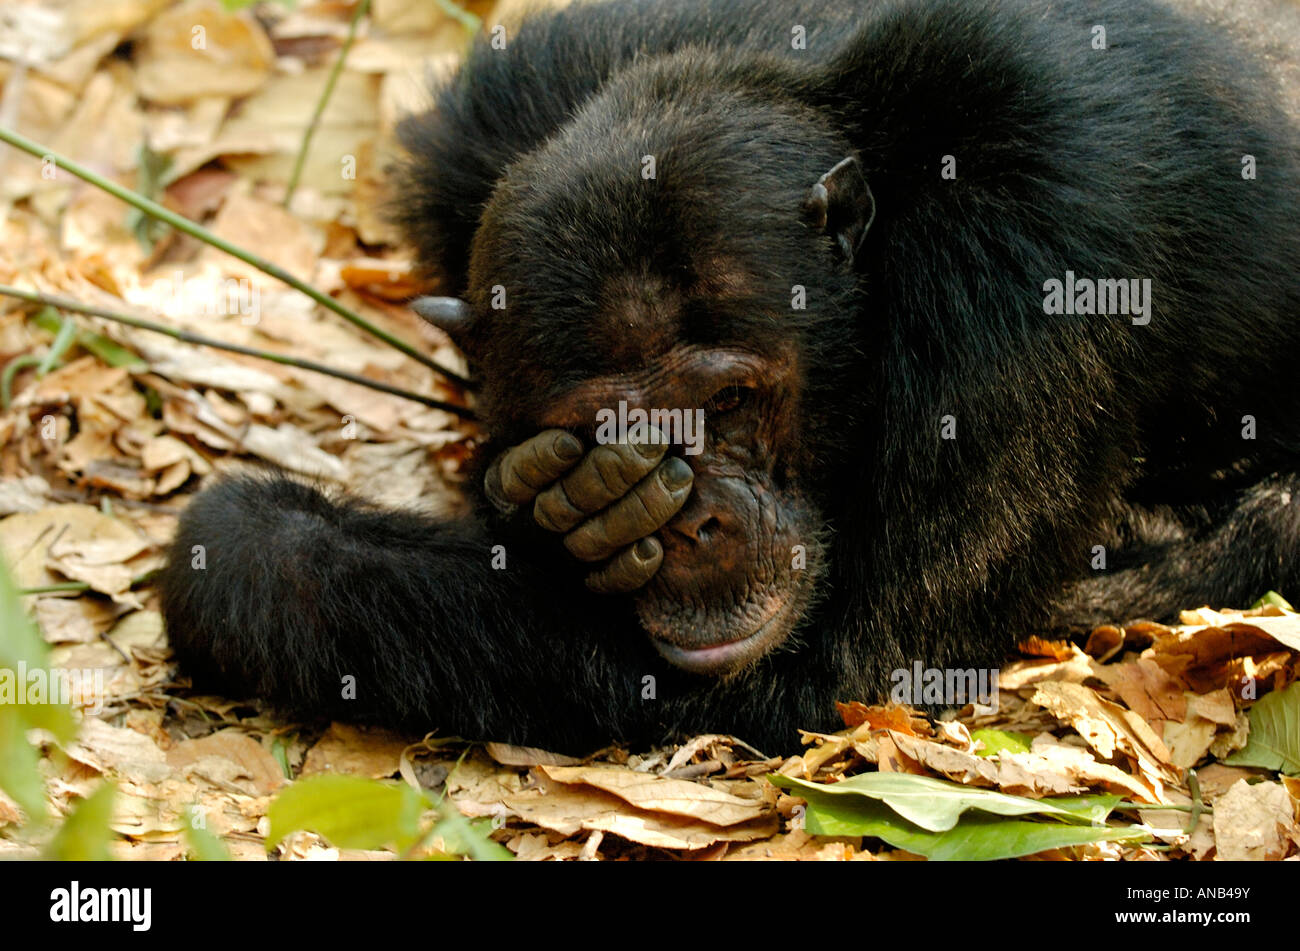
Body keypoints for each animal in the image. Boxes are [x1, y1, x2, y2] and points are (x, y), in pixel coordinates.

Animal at [160, 0, 1300, 753]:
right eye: (612, 427)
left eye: (726, 403)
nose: (690, 524)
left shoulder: (1046, 225)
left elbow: (858, 658)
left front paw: (247, 538)